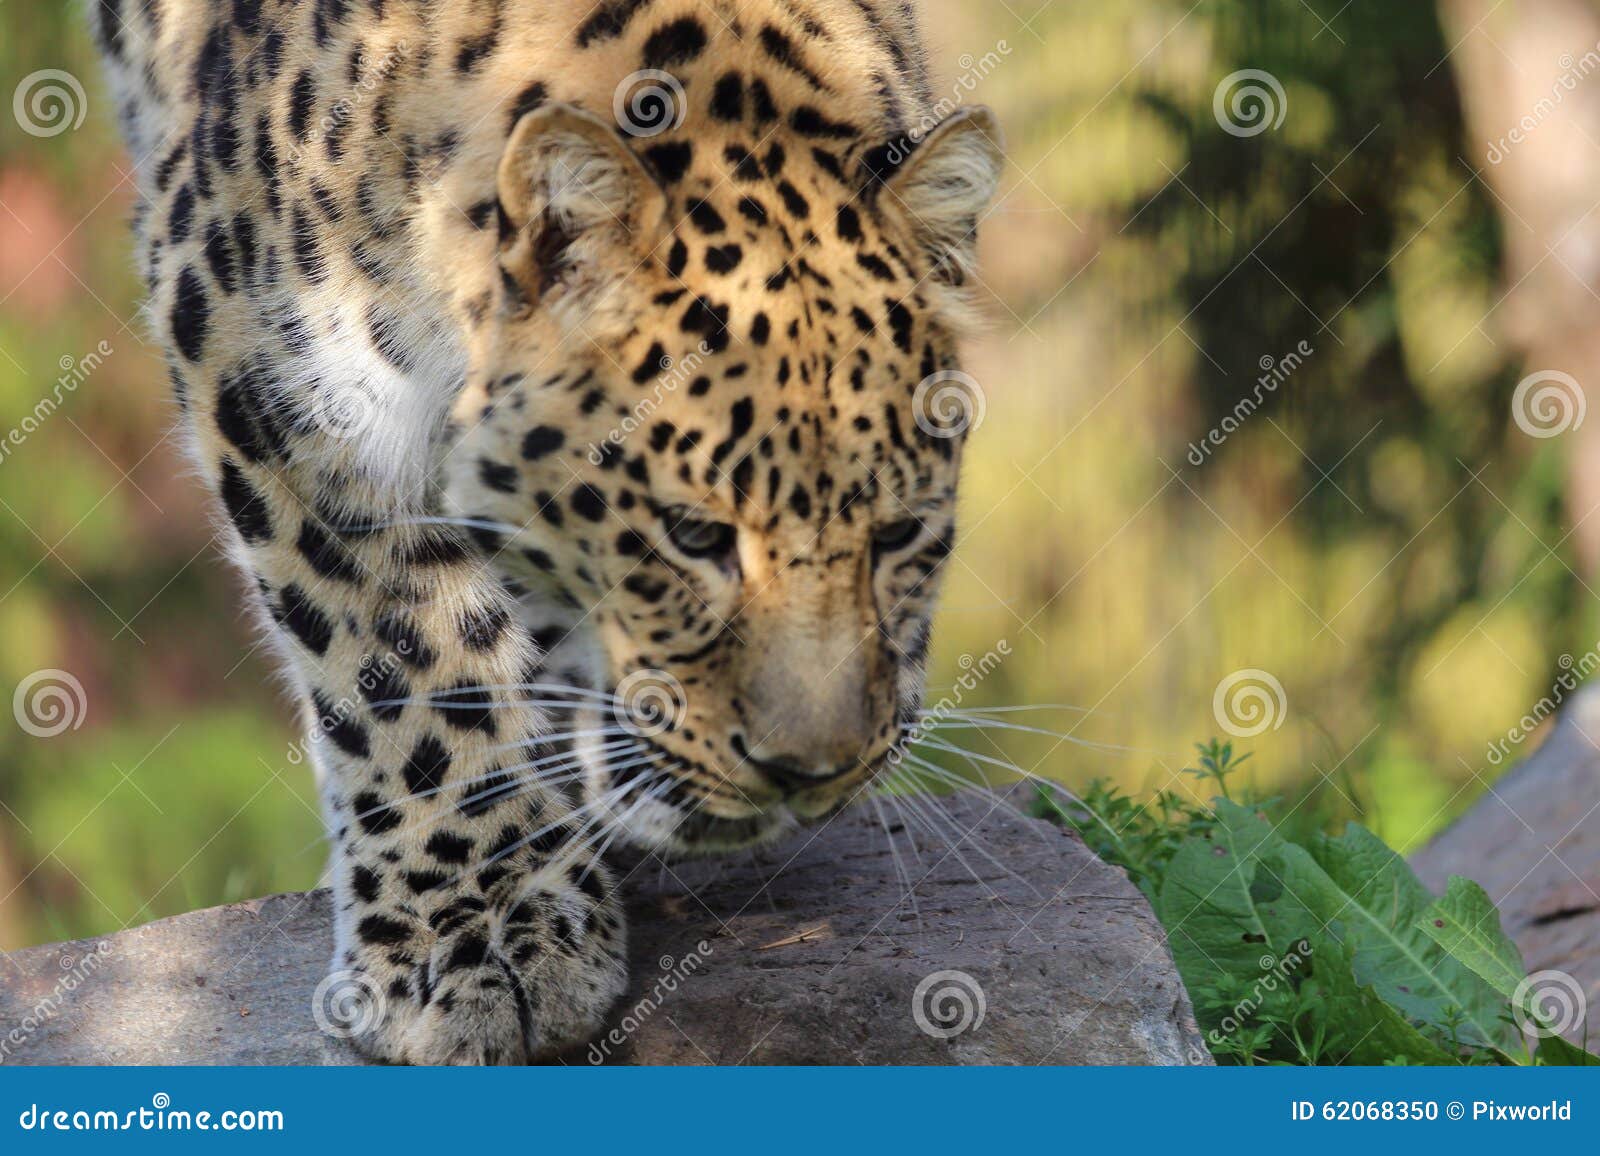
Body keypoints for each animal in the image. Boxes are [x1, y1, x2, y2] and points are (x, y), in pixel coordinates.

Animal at [90, 0, 1003, 1064]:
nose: (804, 775)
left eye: (898, 536)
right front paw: (476, 933)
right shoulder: (265, 364)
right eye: (691, 536)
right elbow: (405, 658)